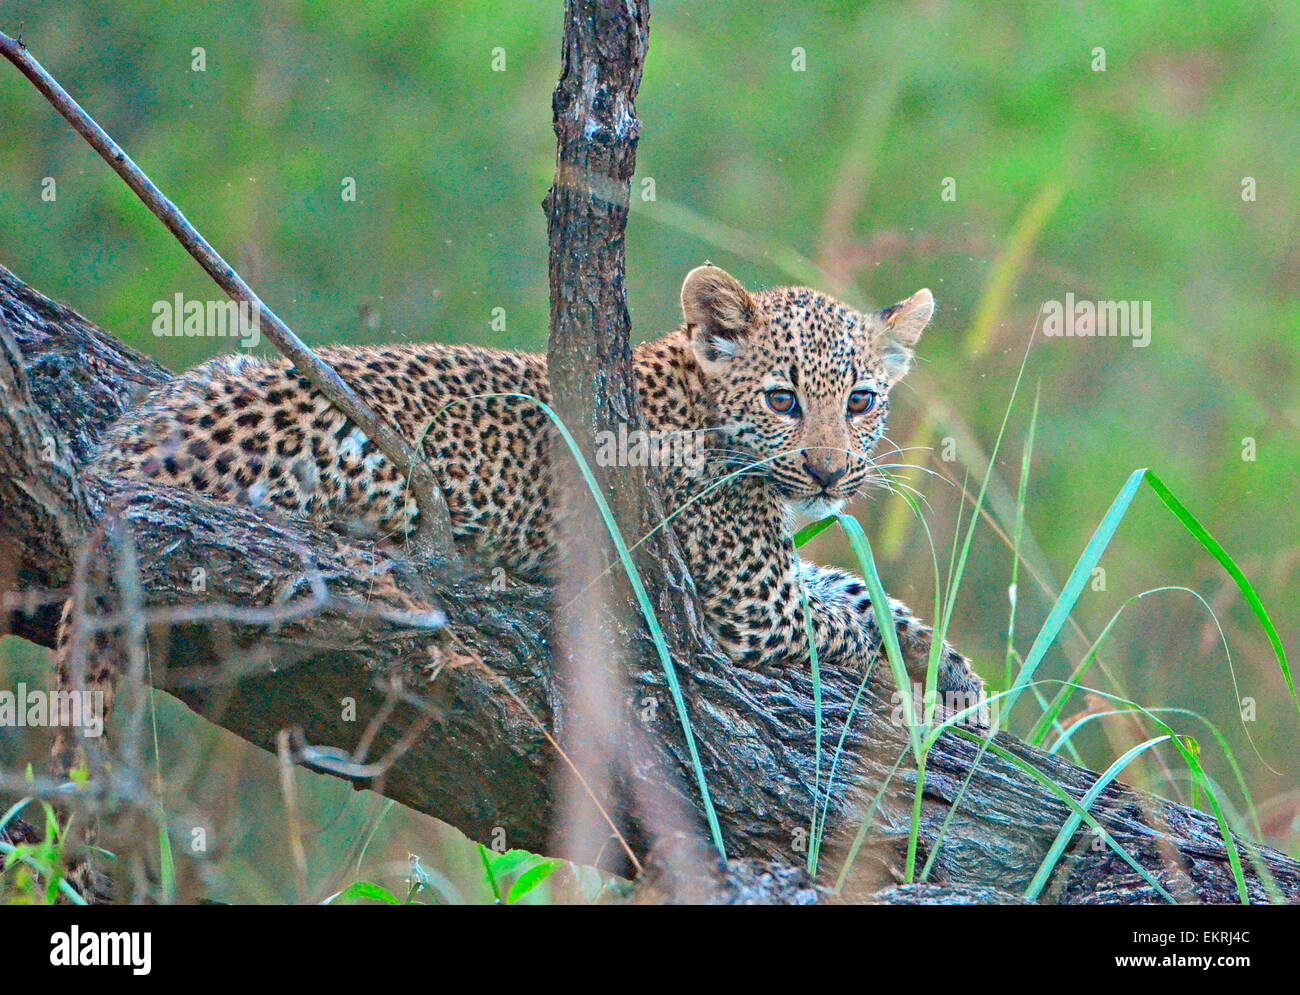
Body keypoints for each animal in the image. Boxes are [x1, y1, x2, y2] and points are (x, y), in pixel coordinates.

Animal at [55, 264, 987, 779]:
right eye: (783, 400)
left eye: (861, 401)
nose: (830, 470)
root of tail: (130, 454)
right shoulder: (748, 609)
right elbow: (842, 622)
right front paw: (921, 683)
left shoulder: (780, 575)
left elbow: (863, 594)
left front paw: (961, 680)